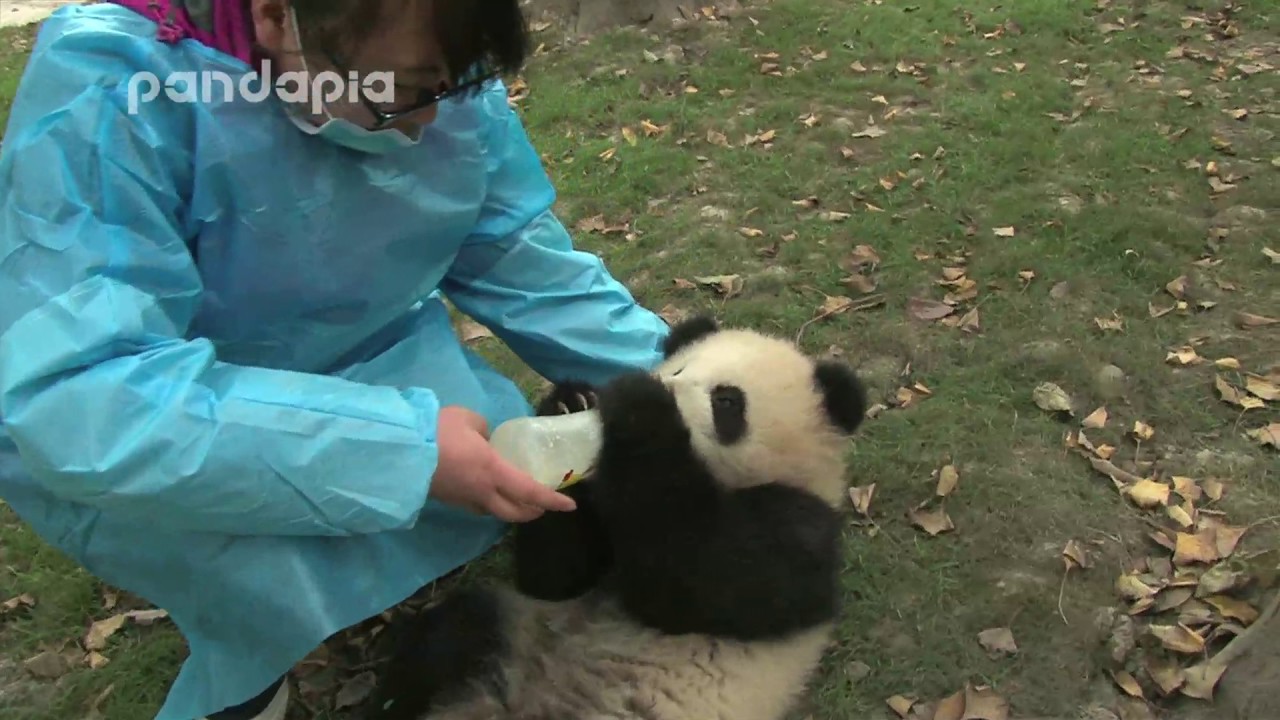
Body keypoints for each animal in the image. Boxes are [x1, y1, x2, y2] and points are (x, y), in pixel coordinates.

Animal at [366, 314, 868, 720]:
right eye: (679, 368)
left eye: (727, 401)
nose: (664, 385)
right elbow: (557, 580)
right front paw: (568, 401)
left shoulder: (798, 532)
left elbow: (694, 577)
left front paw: (640, 407)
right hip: (517, 634)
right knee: (454, 634)